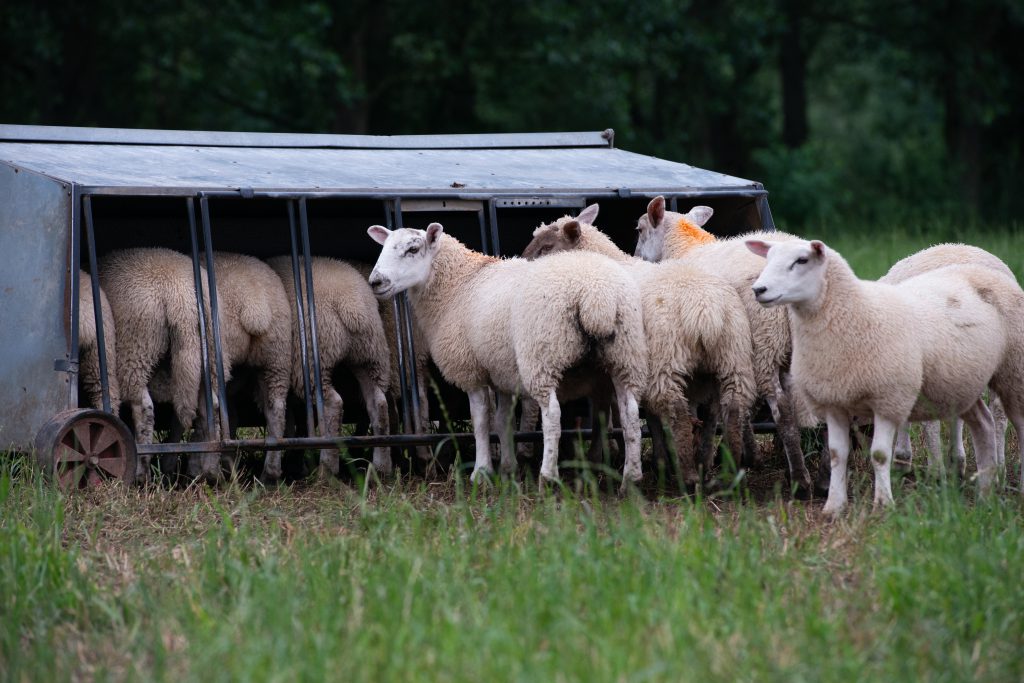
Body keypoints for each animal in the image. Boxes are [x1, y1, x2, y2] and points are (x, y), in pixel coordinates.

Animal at [98, 248, 213, 480]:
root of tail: (180, 295)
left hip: (136, 347)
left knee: (144, 408)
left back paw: (141, 470)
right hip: (207, 353)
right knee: (206, 406)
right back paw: (203, 469)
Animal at [267, 256, 392, 478]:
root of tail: (352, 308)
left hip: (315, 358)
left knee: (333, 404)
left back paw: (327, 467)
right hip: (371, 355)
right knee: (378, 404)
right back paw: (381, 466)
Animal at [366, 222, 649, 491]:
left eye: (413, 249)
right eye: (383, 247)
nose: (375, 282)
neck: (459, 282)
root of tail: (596, 296)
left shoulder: (471, 369)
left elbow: (481, 421)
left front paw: (481, 472)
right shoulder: (500, 371)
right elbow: (503, 422)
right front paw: (507, 469)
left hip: (543, 357)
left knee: (552, 416)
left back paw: (548, 477)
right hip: (624, 356)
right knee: (630, 415)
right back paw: (631, 479)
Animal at [521, 204, 758, 486]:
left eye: (547, 246)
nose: (521, 262)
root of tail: (706, 309)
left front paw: (653, 460)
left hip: (667, 357)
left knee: (676, 409)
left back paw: (689, 475)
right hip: (733, 356)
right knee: (733, 407)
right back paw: (729, 473)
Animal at [634, 196, 814, 495]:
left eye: (639, 229)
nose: (636, 258)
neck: (687, 245)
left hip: (767, 340)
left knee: (783, 410)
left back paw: (799, 480)